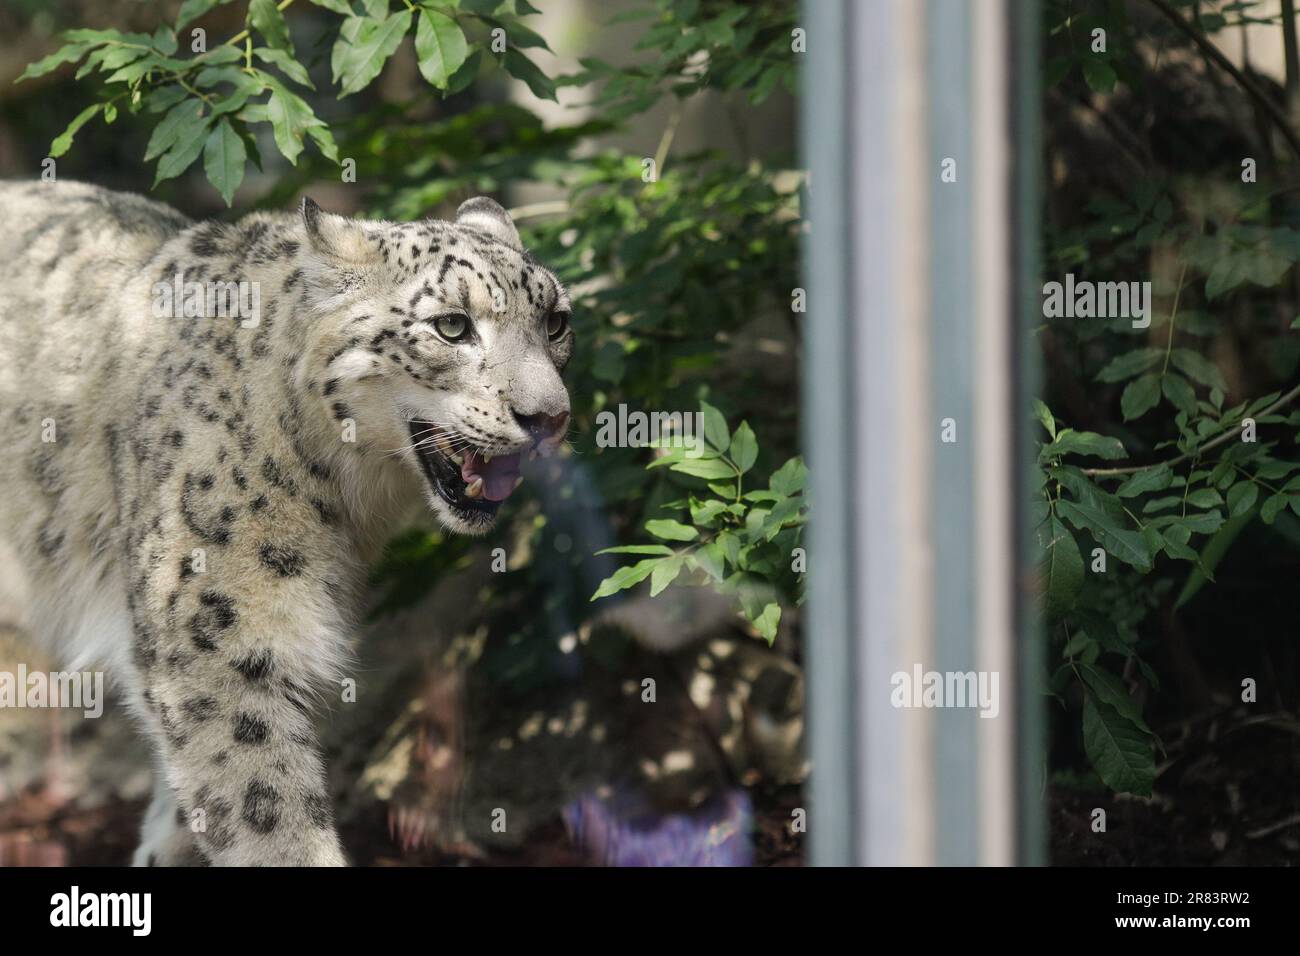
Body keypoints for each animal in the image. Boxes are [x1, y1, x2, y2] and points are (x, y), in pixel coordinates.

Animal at [0, 179, 573, 865]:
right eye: (453, 326)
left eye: (556, 321)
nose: (551, 416)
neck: (344, 502)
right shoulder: (218, 639)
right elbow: (265, 810)